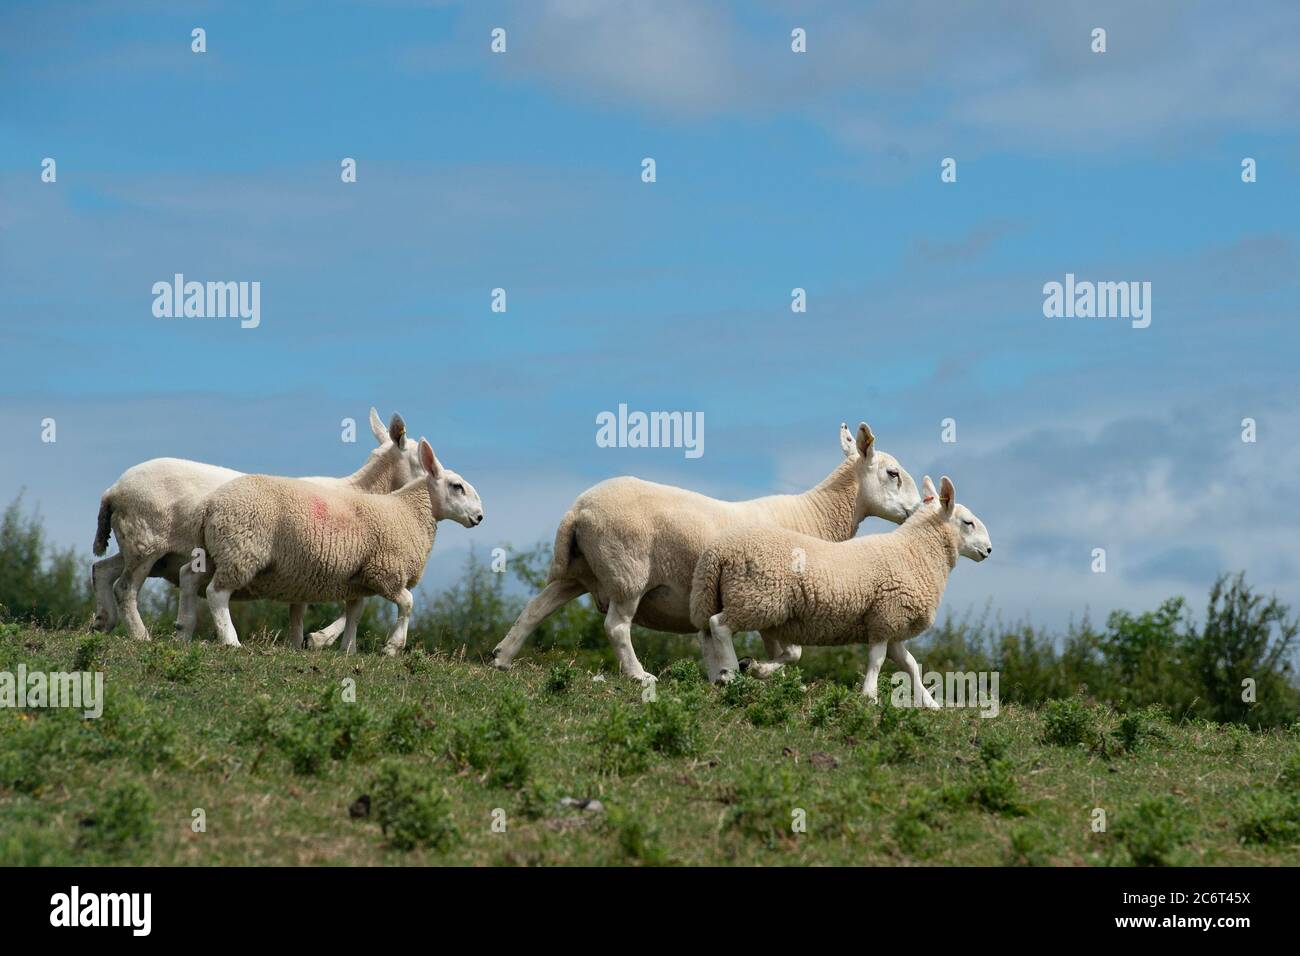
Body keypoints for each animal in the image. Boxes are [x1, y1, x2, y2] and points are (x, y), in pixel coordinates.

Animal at [91, 409, 422, 647]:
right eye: (422, 460)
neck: (365, 491)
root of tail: (113, 490)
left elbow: (307, 609)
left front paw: (301, 642)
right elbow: (354, 603)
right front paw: (318, 639)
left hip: (140, 546)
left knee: (102, 570)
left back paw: (103, 621)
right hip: (146, 542)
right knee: (125, 588)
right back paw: (140, 635)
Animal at [196, 437, 483, 655]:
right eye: (457, 487)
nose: (480, 517)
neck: (409, 511)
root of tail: (210, 504)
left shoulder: (359, 581)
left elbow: (354, 614)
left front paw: (348, 649)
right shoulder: (385, 572)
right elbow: (408, 603)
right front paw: (392, 647)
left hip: (213, 553)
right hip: (241, 550)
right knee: (216, 594)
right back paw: (231, 640)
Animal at [490, 420, 923, 684]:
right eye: (893, 473)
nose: (919, 508)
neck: (815, 515)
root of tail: (577, 510)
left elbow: (758, 649)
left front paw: (740, 675)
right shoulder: (776, 597)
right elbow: (793, 653)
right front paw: (750, 668)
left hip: (580, 572)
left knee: (536, 608)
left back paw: (501, 658)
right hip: (627, 573)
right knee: (616, 626)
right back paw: (638, 675)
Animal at [690, 476, 991, 705]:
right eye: (968, 522)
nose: (988, 550)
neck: (915, 552)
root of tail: (717, 553)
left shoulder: (893, 625)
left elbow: (910, 665)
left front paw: (929, 703)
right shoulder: (885, 616)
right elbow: (877, 660)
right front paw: (869, 696)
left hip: (726, 597)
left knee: (707, 634)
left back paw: (722, 675)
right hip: (755, 598)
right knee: (719, 626)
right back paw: (731, 673)